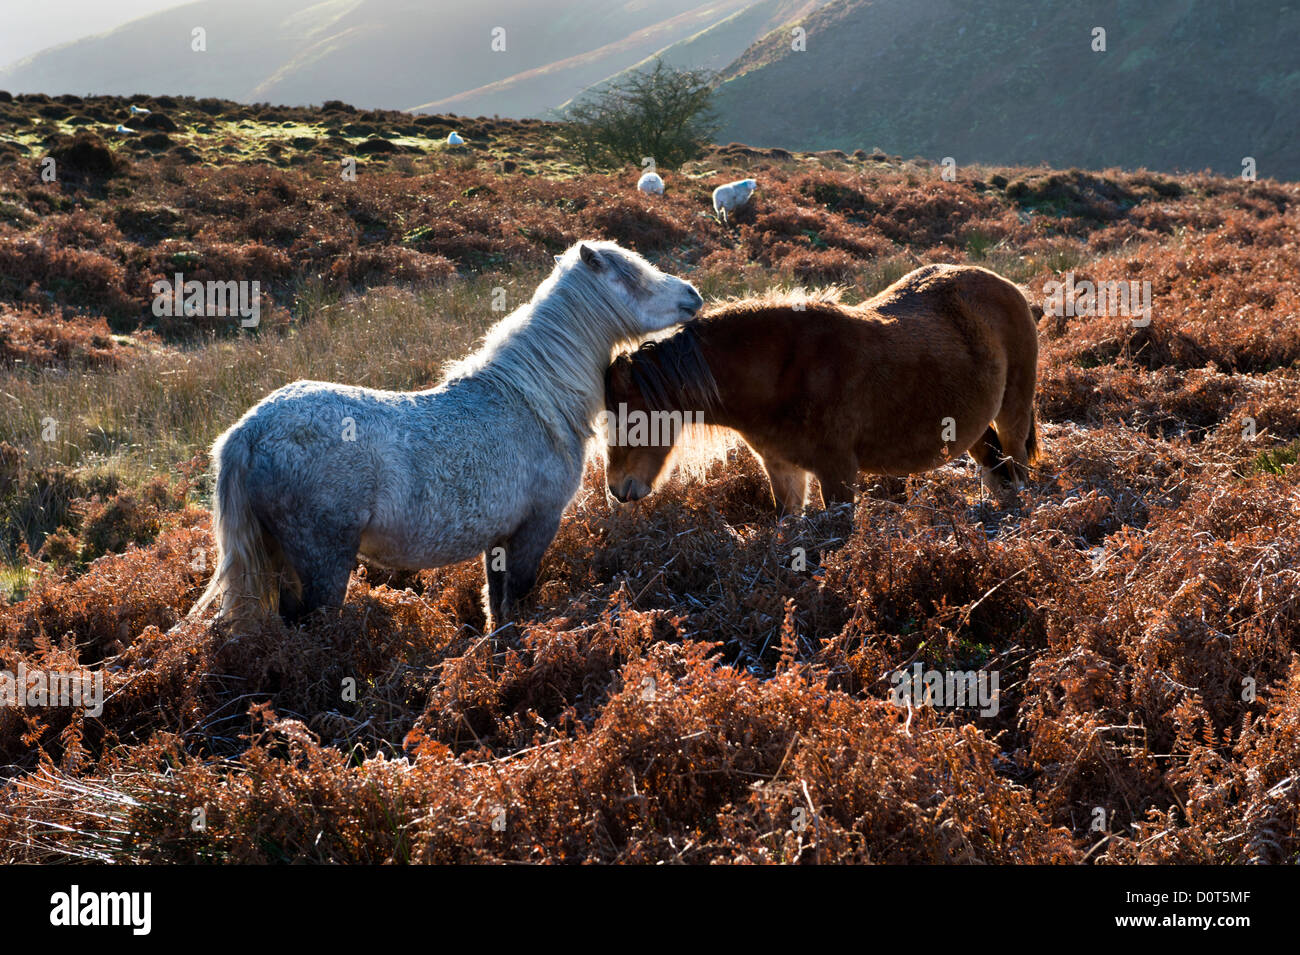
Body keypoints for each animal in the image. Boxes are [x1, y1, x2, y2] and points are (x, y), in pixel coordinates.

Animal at [192, 240, 704, 631]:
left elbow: (498, 608)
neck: (533, 400)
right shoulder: (535, 527)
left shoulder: (500, 539)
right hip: (322, 565)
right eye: (634, 277)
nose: (693, 295)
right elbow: (518, 599)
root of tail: (248, 431)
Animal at [602, 264, 1041, 516]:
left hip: (1014, 413)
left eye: (631, 423)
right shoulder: (783, 470)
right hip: (975, 426)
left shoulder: (838, 473)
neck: (783, 372)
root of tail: (1007, 286)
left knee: (1018, 469)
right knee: (996, 469)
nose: (618, 490)